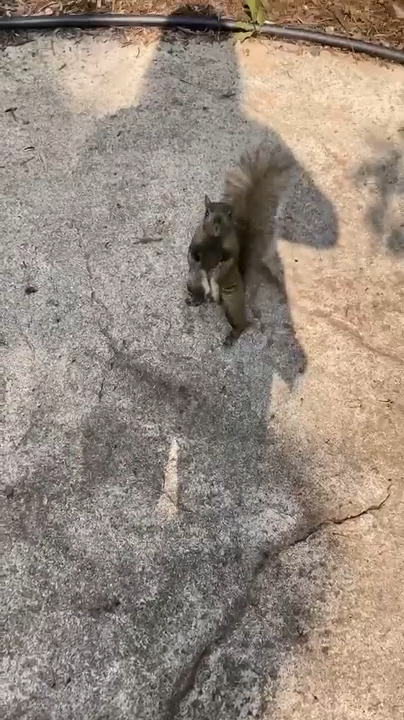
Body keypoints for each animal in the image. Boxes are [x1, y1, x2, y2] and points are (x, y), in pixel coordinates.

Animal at [186, 141, 292, 343]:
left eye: (229, 214)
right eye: (206, 212)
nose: (217, 223)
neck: (214, 240)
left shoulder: (230, 253)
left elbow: (224, 267)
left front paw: (214, 281)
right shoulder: (196, 244)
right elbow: (193, 259)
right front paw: (203, 276)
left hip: (232, 301)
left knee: (240, 321)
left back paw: (232, 335)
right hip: (191, 284)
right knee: (198, 291)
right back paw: (197, 299)